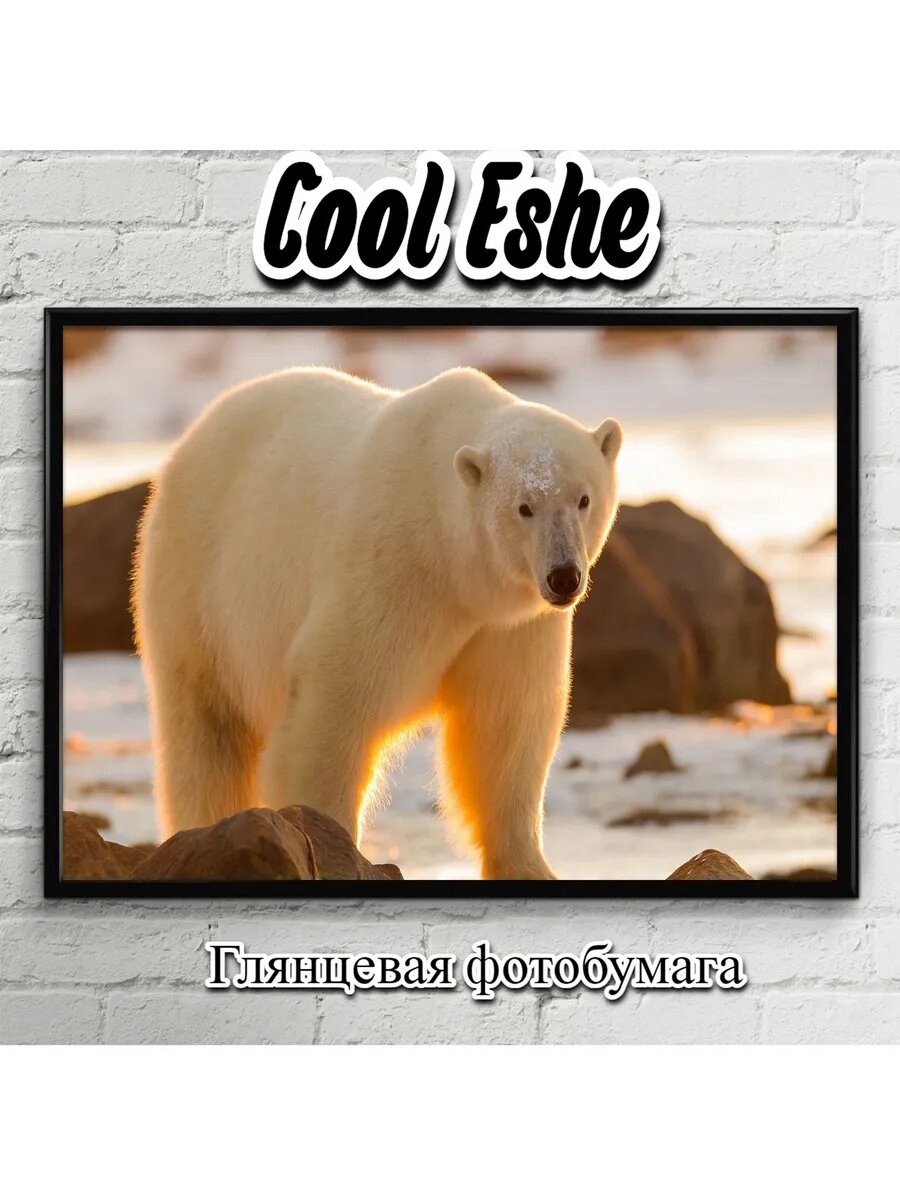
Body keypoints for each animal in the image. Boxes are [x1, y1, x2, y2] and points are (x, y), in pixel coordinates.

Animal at [133, 366, 622, 880]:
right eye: (524, 507)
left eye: (583, 499)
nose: (563, 576)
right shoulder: (390, 566)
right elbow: (333, 706)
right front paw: (330, 843)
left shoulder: (509, 625)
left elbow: (505, 725)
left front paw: (529, 866)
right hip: (197, 587)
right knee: (206, 730)